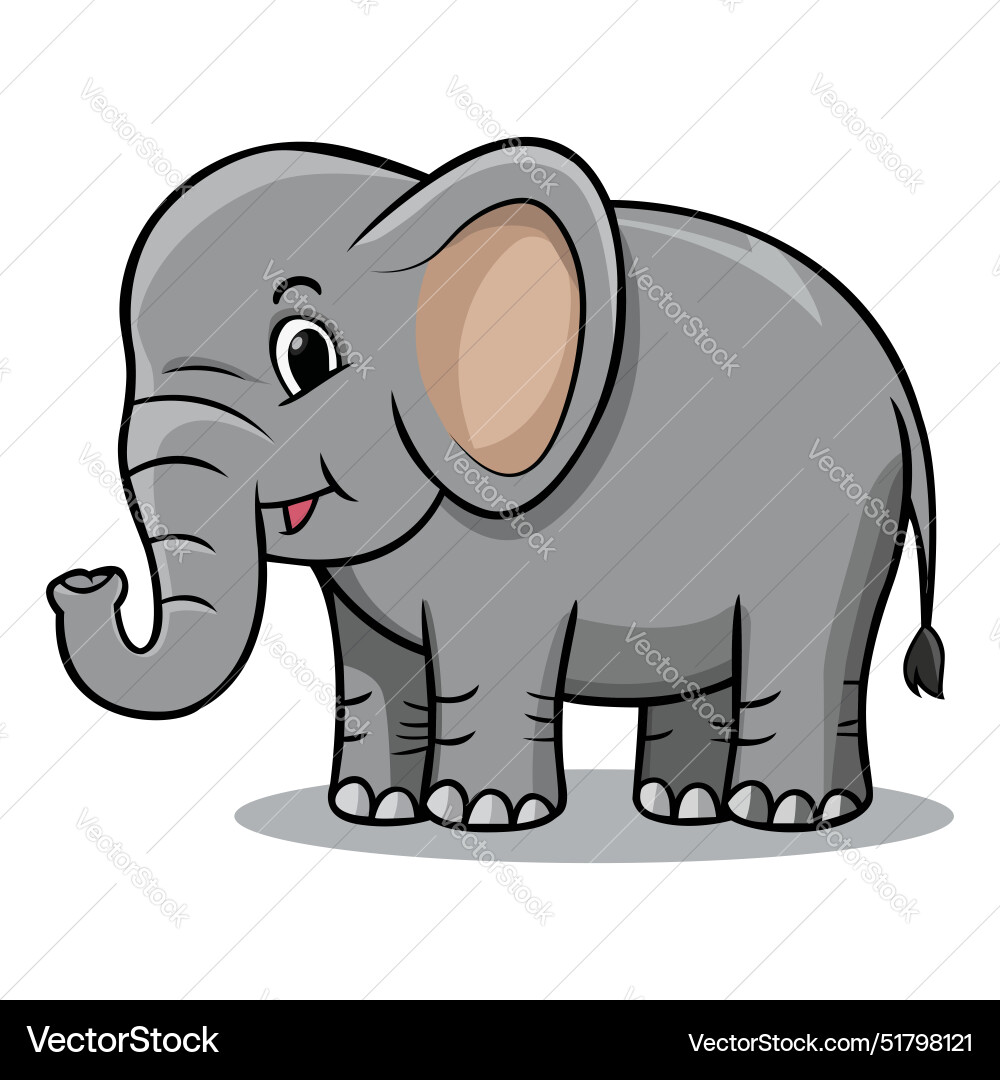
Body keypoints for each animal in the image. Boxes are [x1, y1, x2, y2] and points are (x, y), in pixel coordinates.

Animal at [47, 137, 944, 833]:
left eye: (305, 356)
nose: (87, 580)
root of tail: (900, 386)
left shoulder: (510, 538)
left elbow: (489, 650)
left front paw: (481, 817)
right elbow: (374, 661)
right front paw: (370, 809)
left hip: (837, 515)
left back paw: (785, 813)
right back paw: (677, 806)